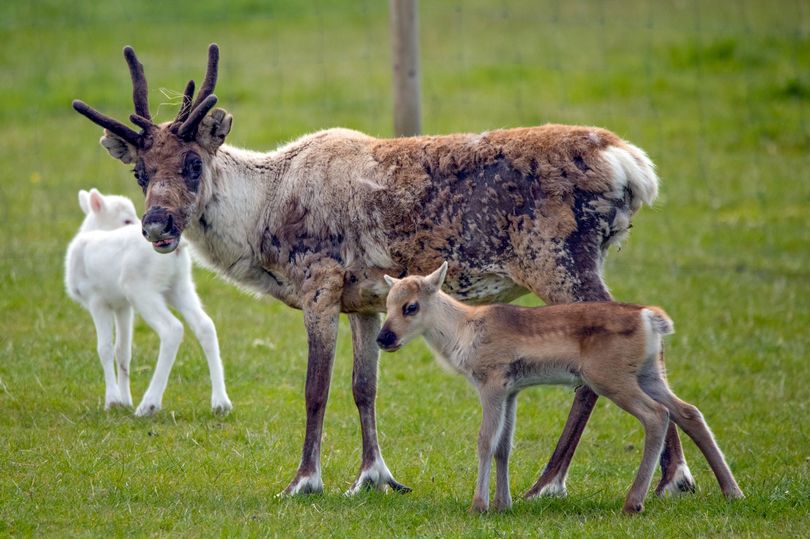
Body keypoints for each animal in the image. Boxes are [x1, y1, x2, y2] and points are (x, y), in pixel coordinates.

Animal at [65, 188, 232, 416]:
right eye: (126, 220)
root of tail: (178, 247)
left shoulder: (96, 300)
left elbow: (104, 348)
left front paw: (112, 401)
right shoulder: (122, 305)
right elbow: (123, 350)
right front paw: (125, 401)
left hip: (142, 290)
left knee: (172, 329)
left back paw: (149, 404)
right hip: (179, 286)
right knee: (205, 325)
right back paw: (220, 403)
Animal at [377, 262, 744, 513]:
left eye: (411, 306)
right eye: (388, 303)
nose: (384, 338)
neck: (463, 331)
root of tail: (651, 318)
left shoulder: (492, 382)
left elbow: (485, 441)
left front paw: (479, 505)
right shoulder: (512, 390)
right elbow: (504, 446)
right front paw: (503, 504)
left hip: (611, 378)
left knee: (657, 415)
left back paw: (633, 502)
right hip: (650, 375)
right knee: (688, 411)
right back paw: (733, 491)